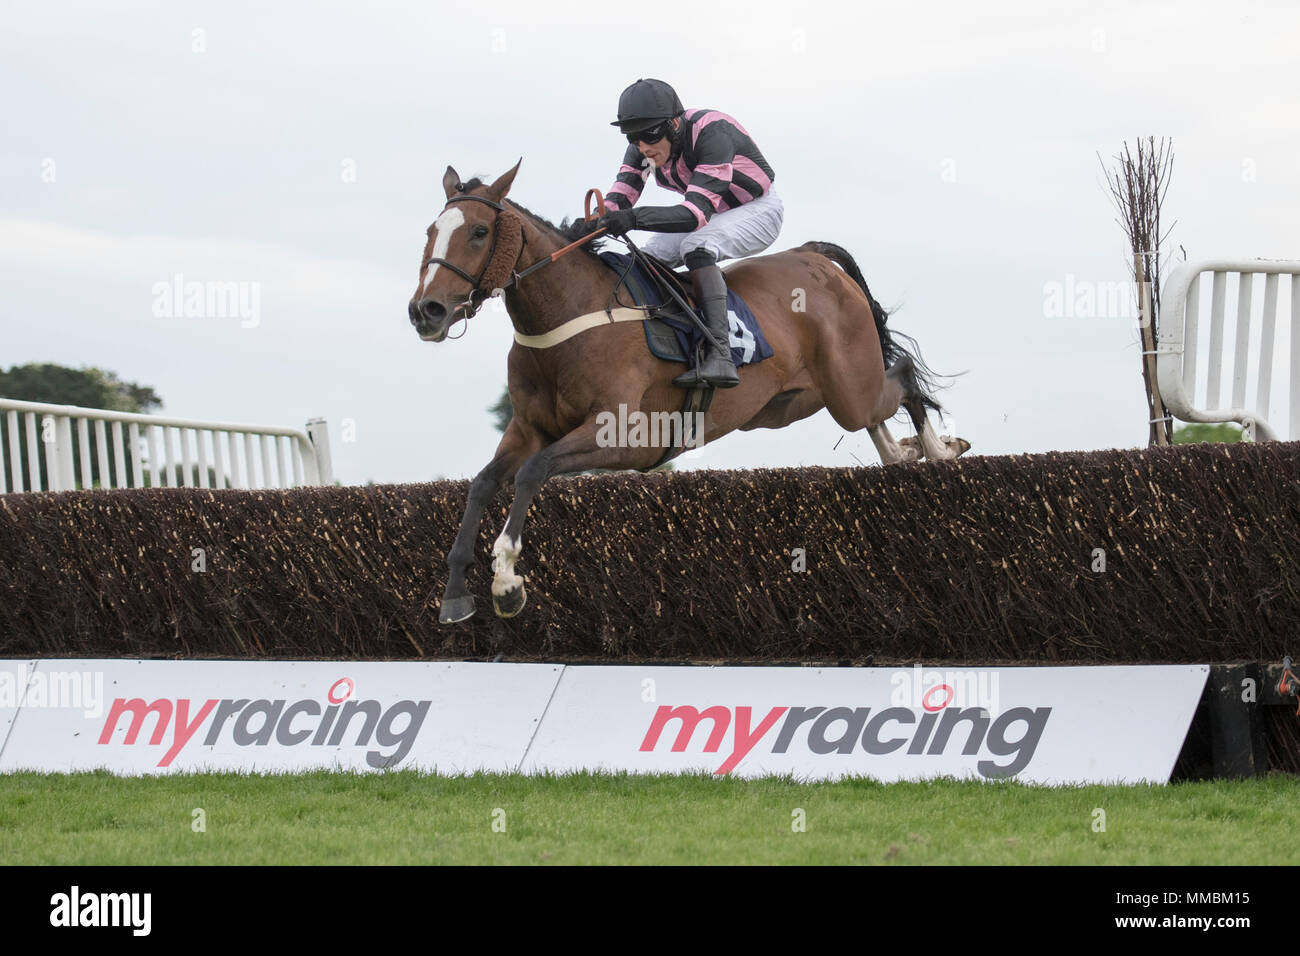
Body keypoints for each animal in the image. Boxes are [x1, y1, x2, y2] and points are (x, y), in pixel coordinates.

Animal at [409, 159, 969, 624]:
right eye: (431, 232)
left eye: (479, 231)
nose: (426, 311)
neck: (569, 317)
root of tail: (815, 258)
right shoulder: (527, 428)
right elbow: (483, 483)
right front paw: (456, 592)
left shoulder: (622, 435)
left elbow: (532, 471)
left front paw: (507, 581)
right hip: (795, 402)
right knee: (877, 411)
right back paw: (903, 453)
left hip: (847, 387)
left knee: (900, 378)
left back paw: (940, 449)